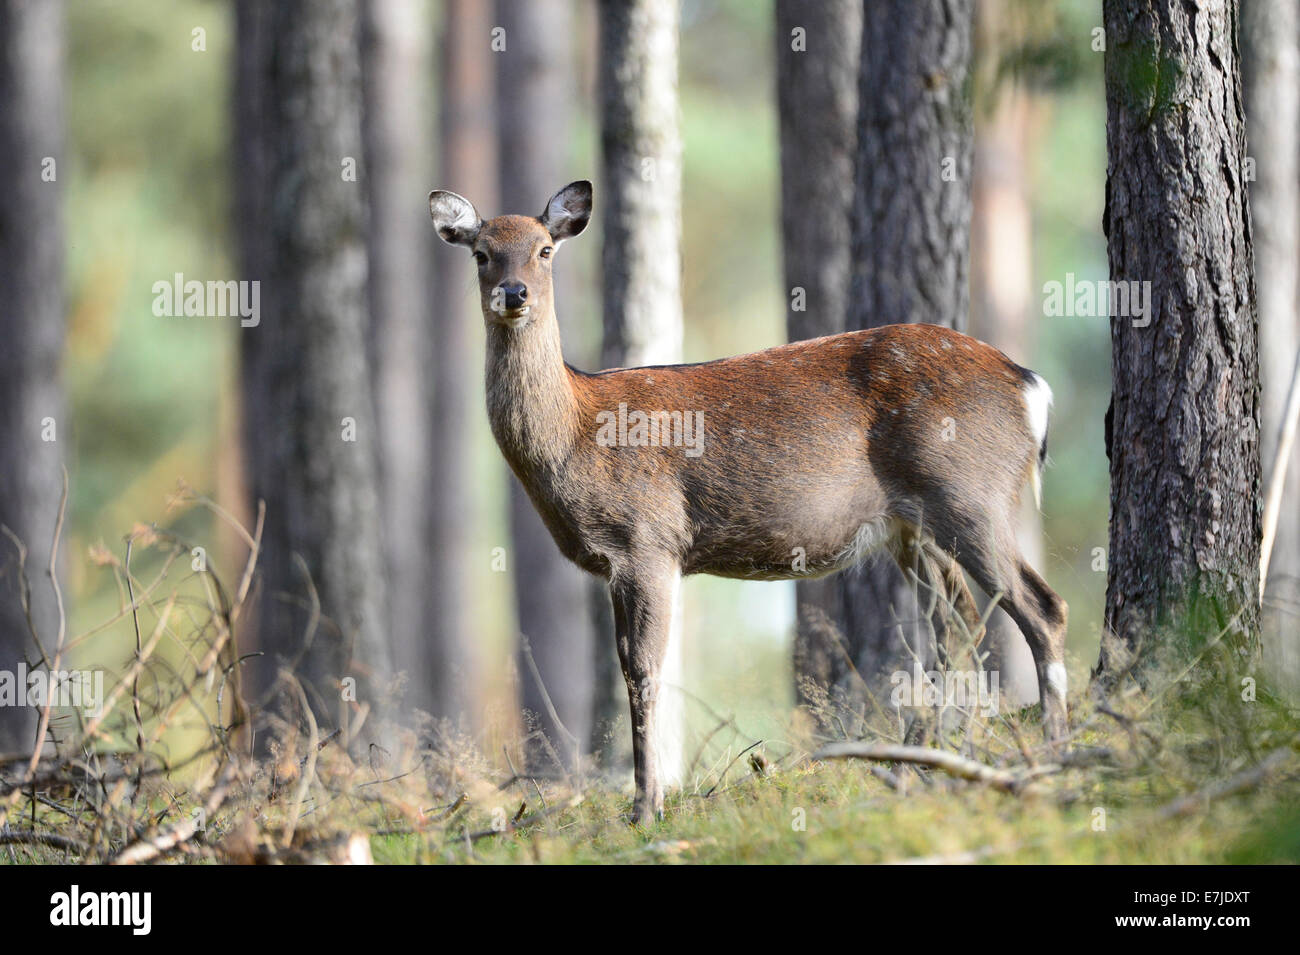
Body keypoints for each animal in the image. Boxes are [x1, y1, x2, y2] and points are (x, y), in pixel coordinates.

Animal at [429, 180, 1068, 823]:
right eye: (481, 253)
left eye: (544, 250)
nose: (513, 294)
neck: (576, 430)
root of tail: (1031, 387)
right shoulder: (621, 560)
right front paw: (644, 802)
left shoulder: (648, 541)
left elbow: (644, 670)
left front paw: (647, 808)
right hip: (912, 527)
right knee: (957, 626)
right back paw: (926, 761)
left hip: (971, 494)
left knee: (1041, 606)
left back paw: (1051, 751)